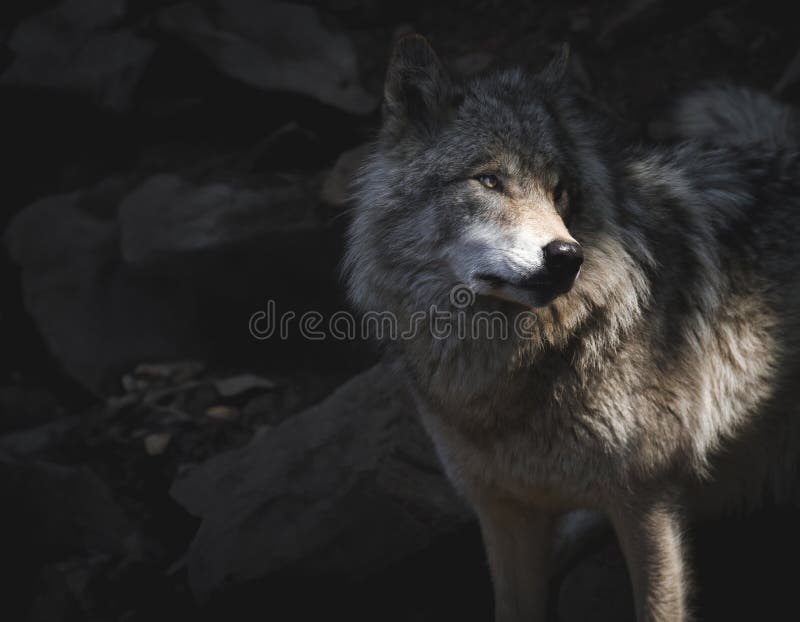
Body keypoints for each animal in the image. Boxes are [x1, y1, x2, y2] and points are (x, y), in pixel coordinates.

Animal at [344, 35, 800, 621]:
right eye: (488, 180)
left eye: (559, 190)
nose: (567, 256)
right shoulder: (502, 512)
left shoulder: (645, 502)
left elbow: (659, 604)